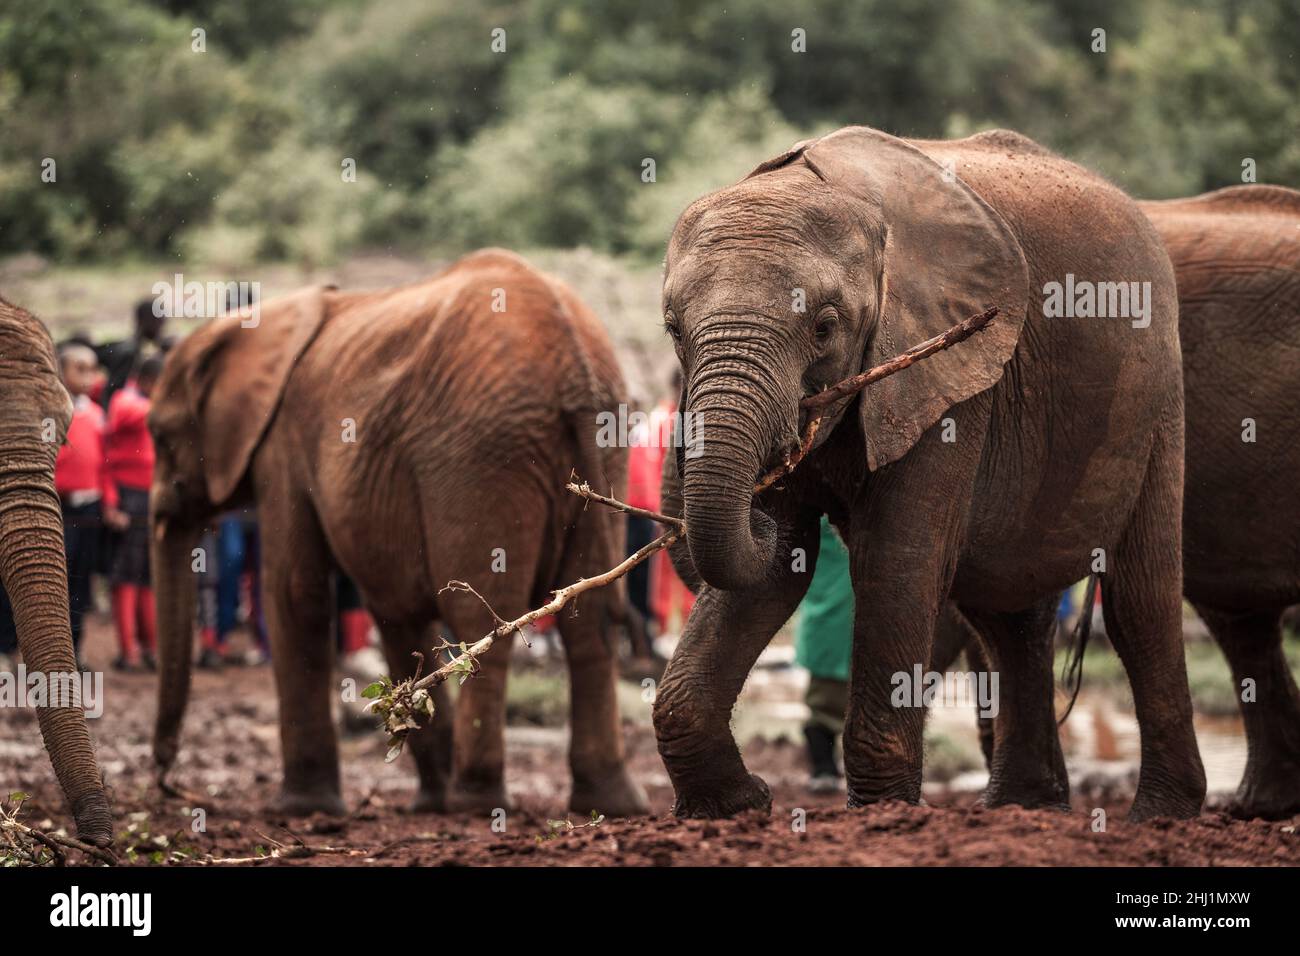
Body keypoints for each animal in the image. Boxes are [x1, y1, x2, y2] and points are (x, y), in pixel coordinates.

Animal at [149, 249, 648, 817]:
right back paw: (610, 802)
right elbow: (394, 608)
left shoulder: (283, 445)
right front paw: (425, 800)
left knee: (485, 617)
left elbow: (297, 595)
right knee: (591, 622)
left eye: (158, 435)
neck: (258, 323)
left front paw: (300, 809)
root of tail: (574, 365)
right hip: (603, 441)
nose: (165, 775)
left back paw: (475, 800)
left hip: (480, 453)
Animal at [650, 126, 1206, 822]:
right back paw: (1022, 808)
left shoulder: (956, 367)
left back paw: (1160, 814)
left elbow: (896, 561)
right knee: (1008, 615)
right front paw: (736, 807)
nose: (757, 502)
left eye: (825, 327)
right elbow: (775, 572)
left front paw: (882, 814)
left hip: (1157, 397)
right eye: (673, 329)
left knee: (1140, 601)